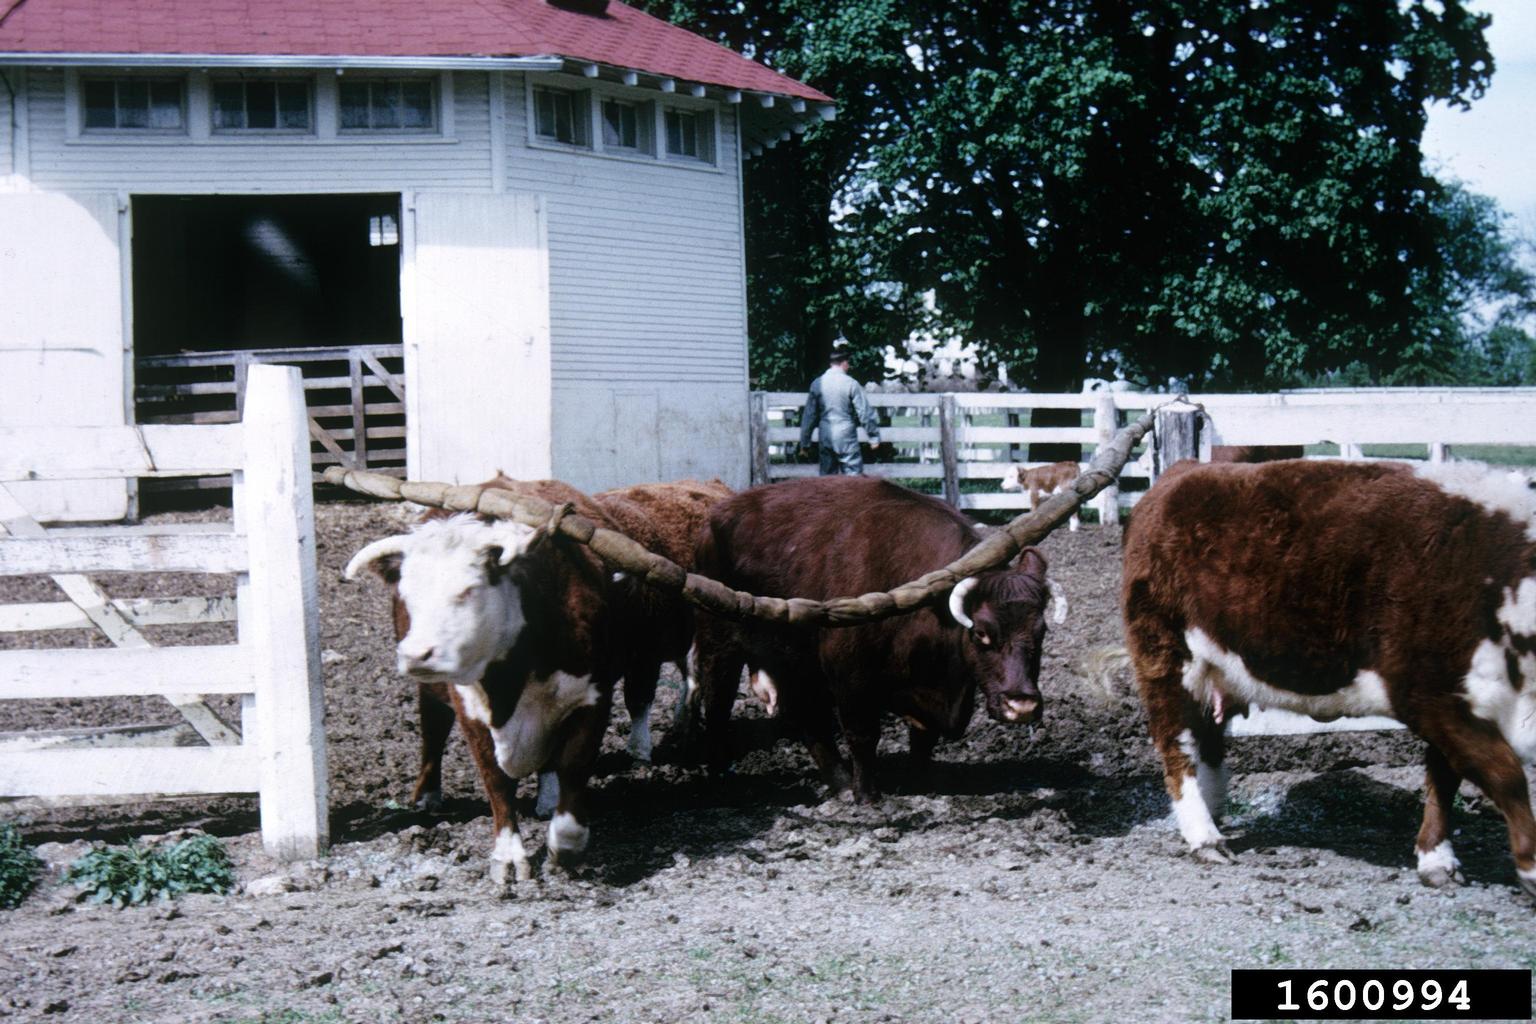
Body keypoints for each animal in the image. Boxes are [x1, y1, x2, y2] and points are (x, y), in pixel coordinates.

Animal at [345, 476, 728, 883]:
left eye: (469, 590)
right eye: (407, 594)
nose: (416, 655)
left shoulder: (591, 697)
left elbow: (573, 766)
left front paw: (566, 845)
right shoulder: (470, 709)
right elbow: (495, 779)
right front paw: (508, 856)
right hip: (433, 691)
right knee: (433, 728)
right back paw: (428, 795)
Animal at [690, 475, 1068, 801]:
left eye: (1041, 631)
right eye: (981, 632)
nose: (1022, 705)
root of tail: (717, 515)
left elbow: (923, 738)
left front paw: (917, 785)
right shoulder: (851, 679)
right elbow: (863, 736)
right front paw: (867, 796)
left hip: (794, 661)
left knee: (806, 717)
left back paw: (838, 782)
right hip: (719, 645)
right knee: (718, 705)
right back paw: (722, 778)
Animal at [1121, 458, 1536, 897]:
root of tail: (1185, 471)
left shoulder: (1457, 701)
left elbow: (1444, 777)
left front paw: (1436, 860)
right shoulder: (1430, 694)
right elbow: (1505, 774)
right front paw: (1530, 867)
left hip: (1217, 670)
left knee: (1209, 739)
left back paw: (1215, 812)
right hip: (1166, 657)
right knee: (1177, 744)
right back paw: (1204, 837)